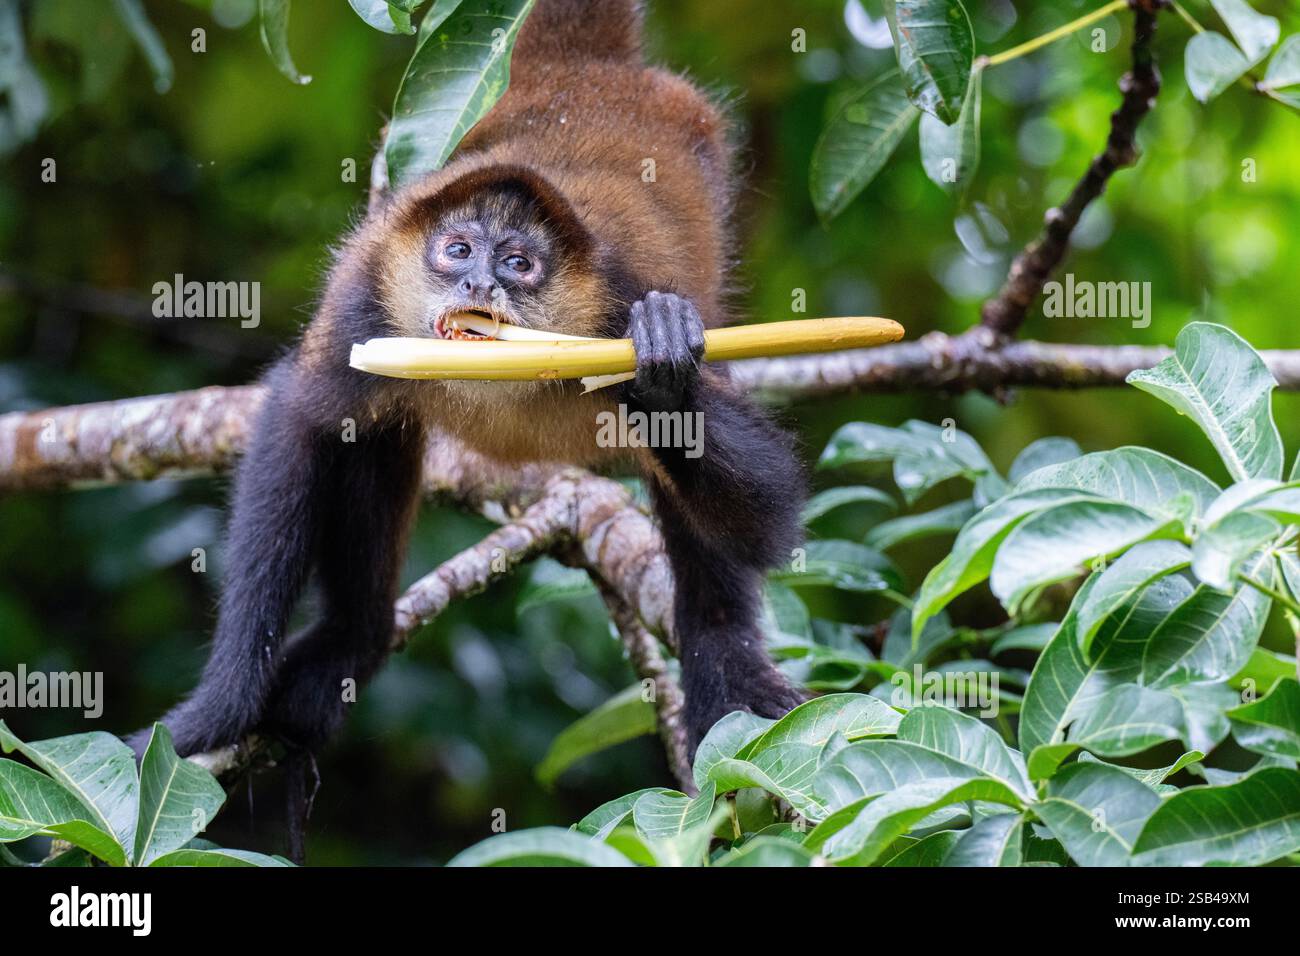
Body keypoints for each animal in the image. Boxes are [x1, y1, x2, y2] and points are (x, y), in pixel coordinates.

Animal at [132, 0, 808, 763]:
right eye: (457, 251)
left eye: (517, 264)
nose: (479, 283)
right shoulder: (366, 297)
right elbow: (303, 422)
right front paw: (223, 706)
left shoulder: (627, 296)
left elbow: (767, 511)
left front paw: (662, 375)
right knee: (370, 431)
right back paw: (350, 638)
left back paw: (725, 661)